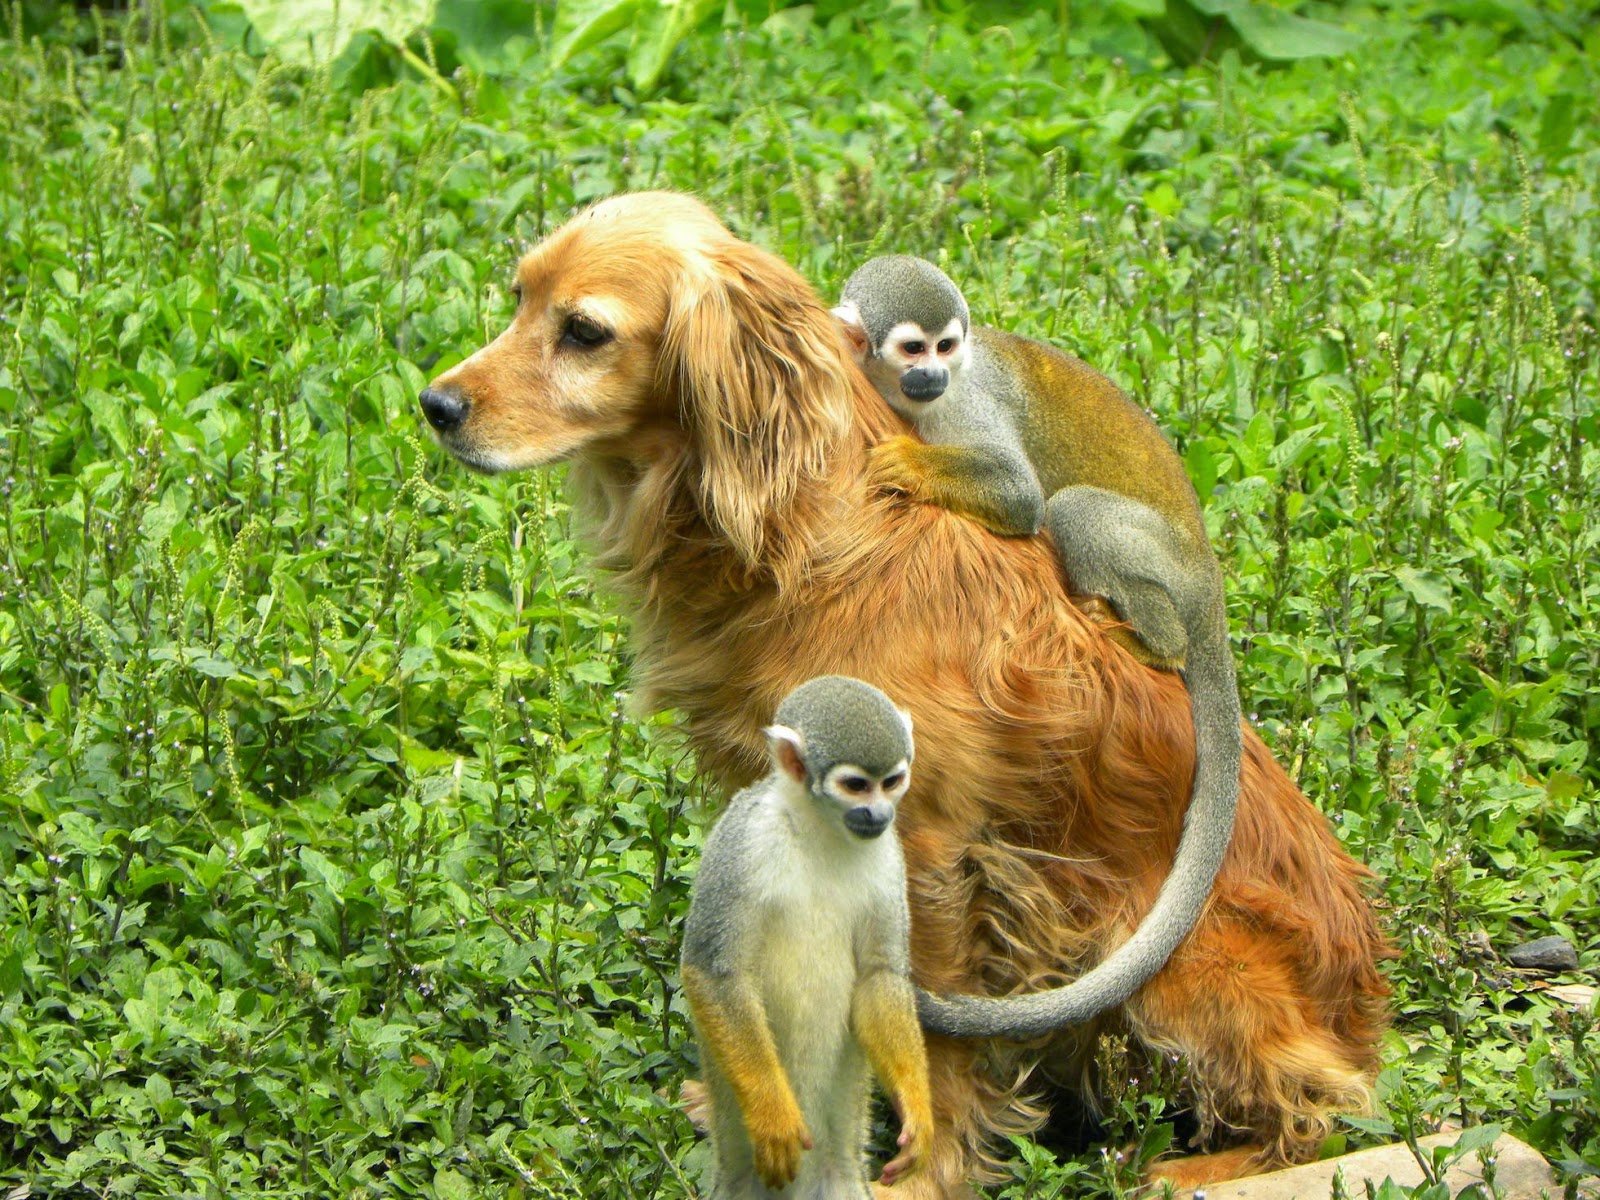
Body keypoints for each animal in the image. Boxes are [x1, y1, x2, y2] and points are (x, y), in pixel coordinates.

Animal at [680, 675, 933, 1198]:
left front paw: (917, 1109)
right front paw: (773, 1116)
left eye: (892, 781)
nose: (878, 813)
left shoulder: (889, 854)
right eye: (856, 785)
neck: (820, 828)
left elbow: (879, 977)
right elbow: (713, 970)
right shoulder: (742, 837)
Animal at [832, 256, 1243, 1041]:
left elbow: (1021, 499)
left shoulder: (966, 404)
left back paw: (1158, 645)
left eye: (947, 346)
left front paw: (910, 465)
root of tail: (1208, 581)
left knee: (1071, 509)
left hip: (1166, 563)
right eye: (913, 348)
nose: (934, 374)